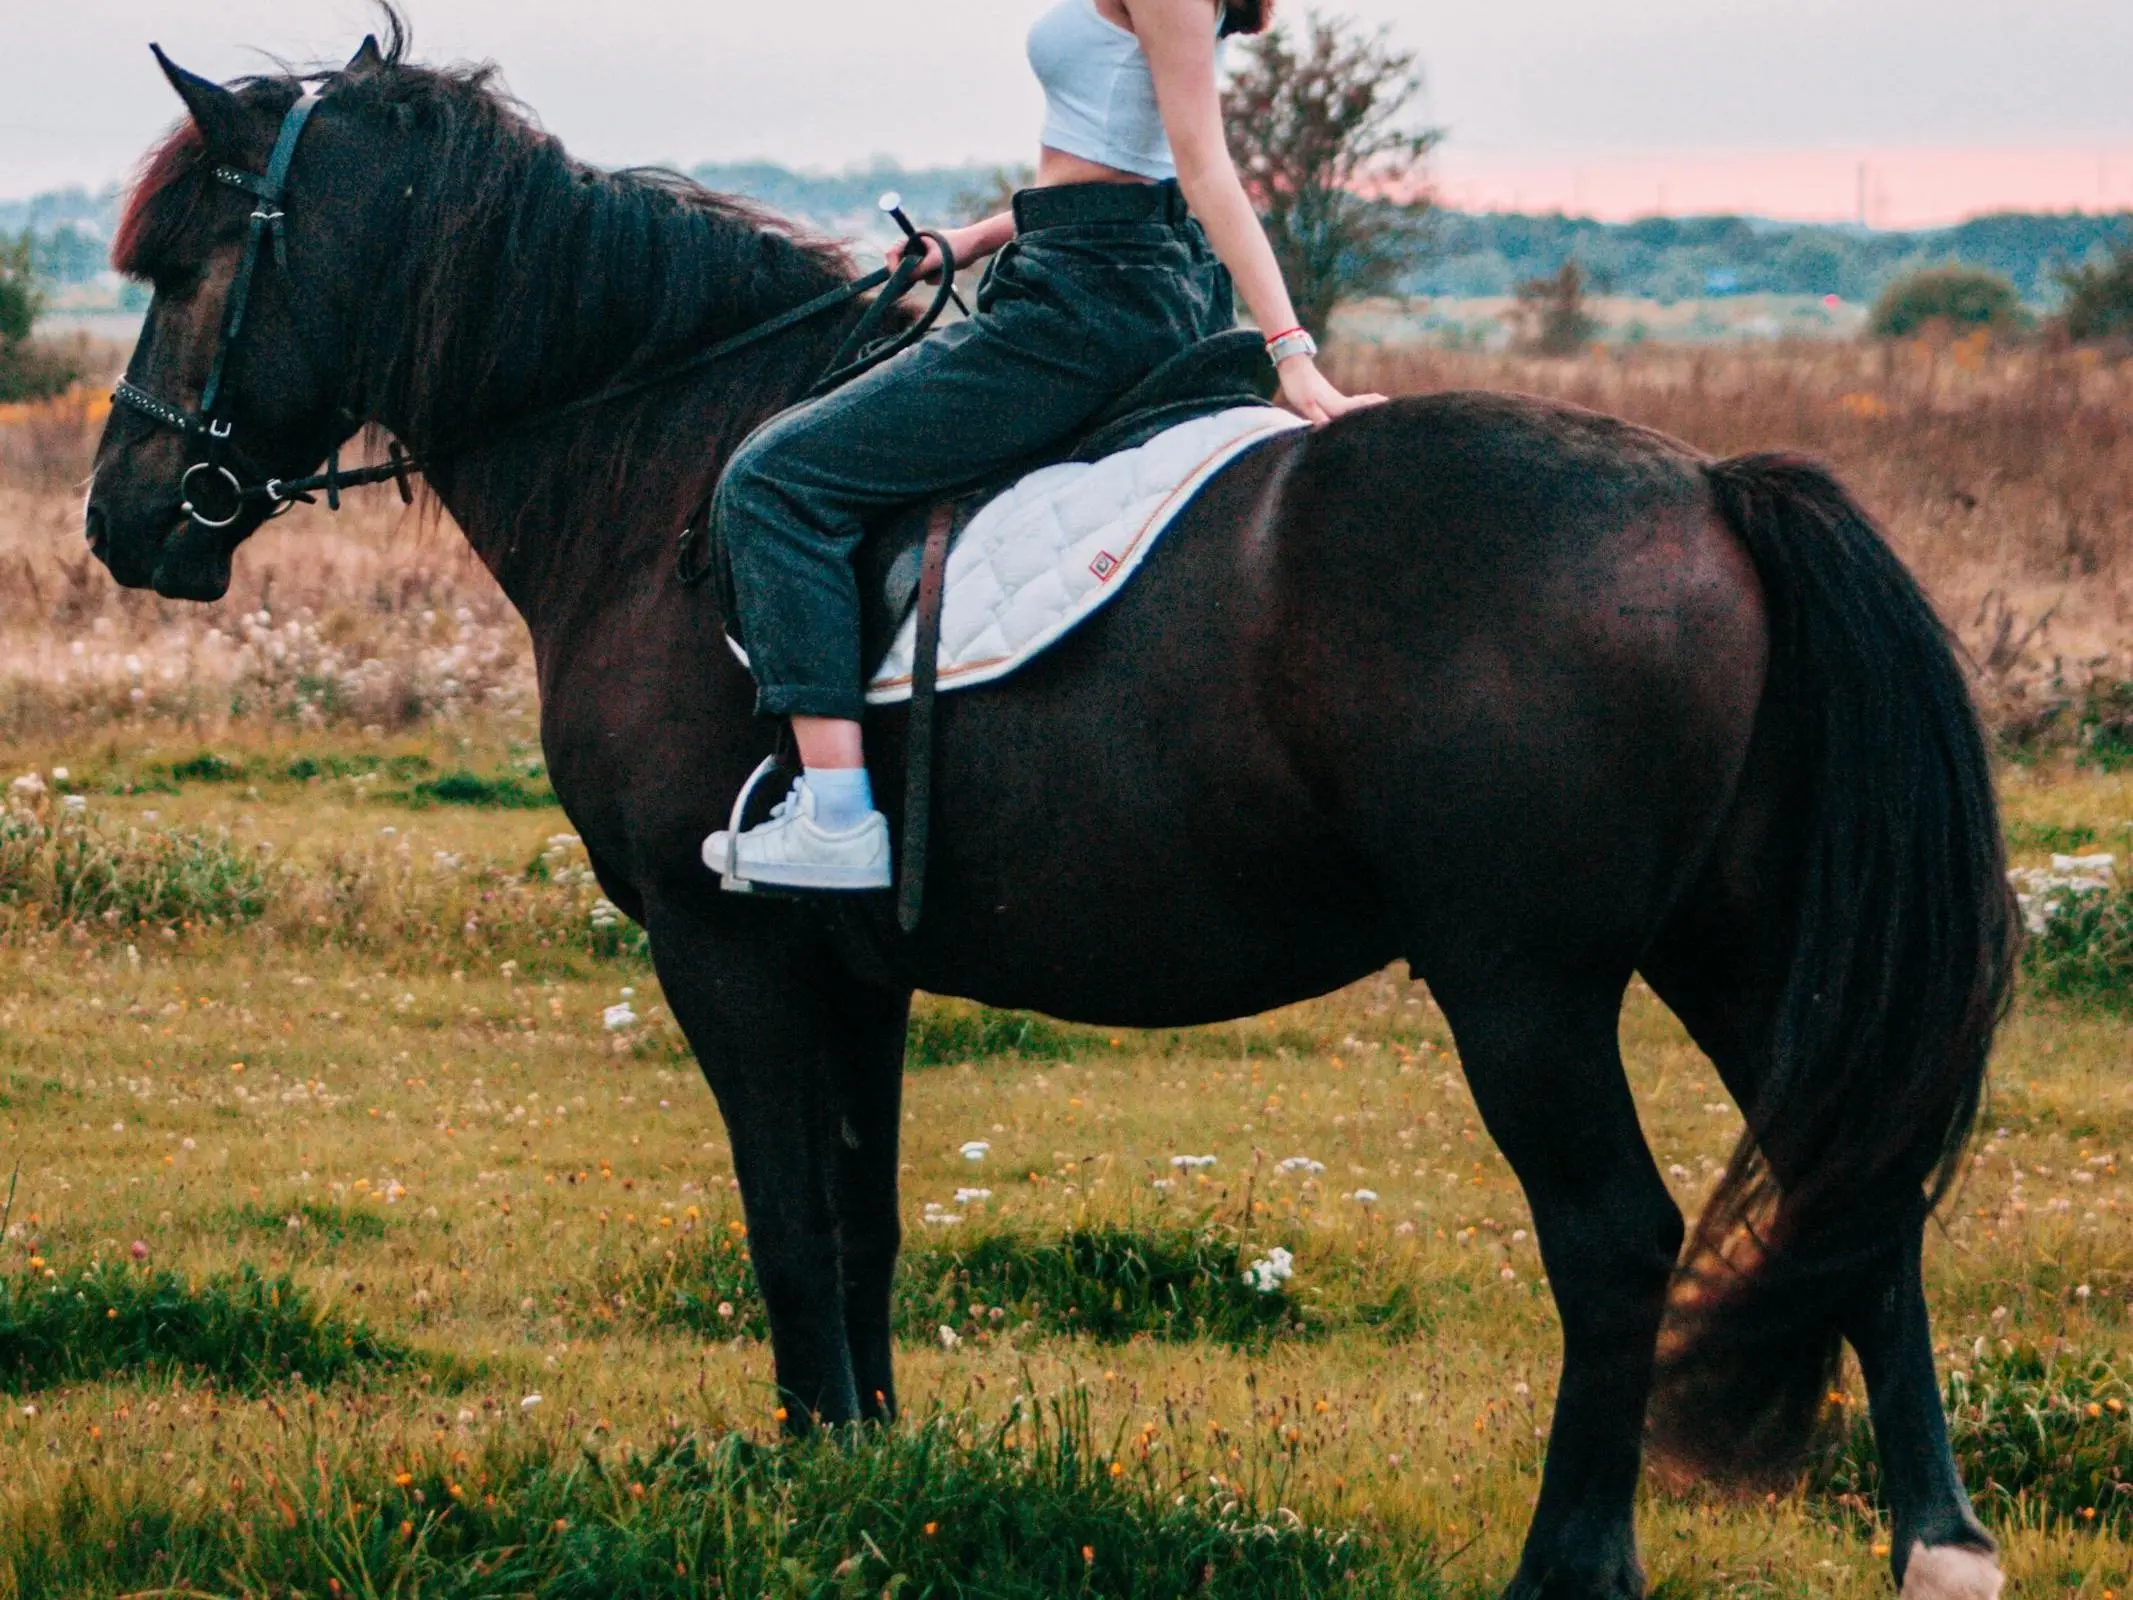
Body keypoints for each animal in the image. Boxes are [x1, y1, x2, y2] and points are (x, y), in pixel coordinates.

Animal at [83, 23, 2015, 1600]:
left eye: (185, 263)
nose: (123, 516)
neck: (660, 462)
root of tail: (1711, 487)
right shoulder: (852, 973)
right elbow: (857, 1225)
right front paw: (863, 1471)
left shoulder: (727, 952)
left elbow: (786, 1224)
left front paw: (798, 1491)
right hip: (1744, 948)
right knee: (1853, 1188)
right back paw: (1936, 1544)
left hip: (1522, 985)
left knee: (1614, 1243)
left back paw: (1573, 1563)